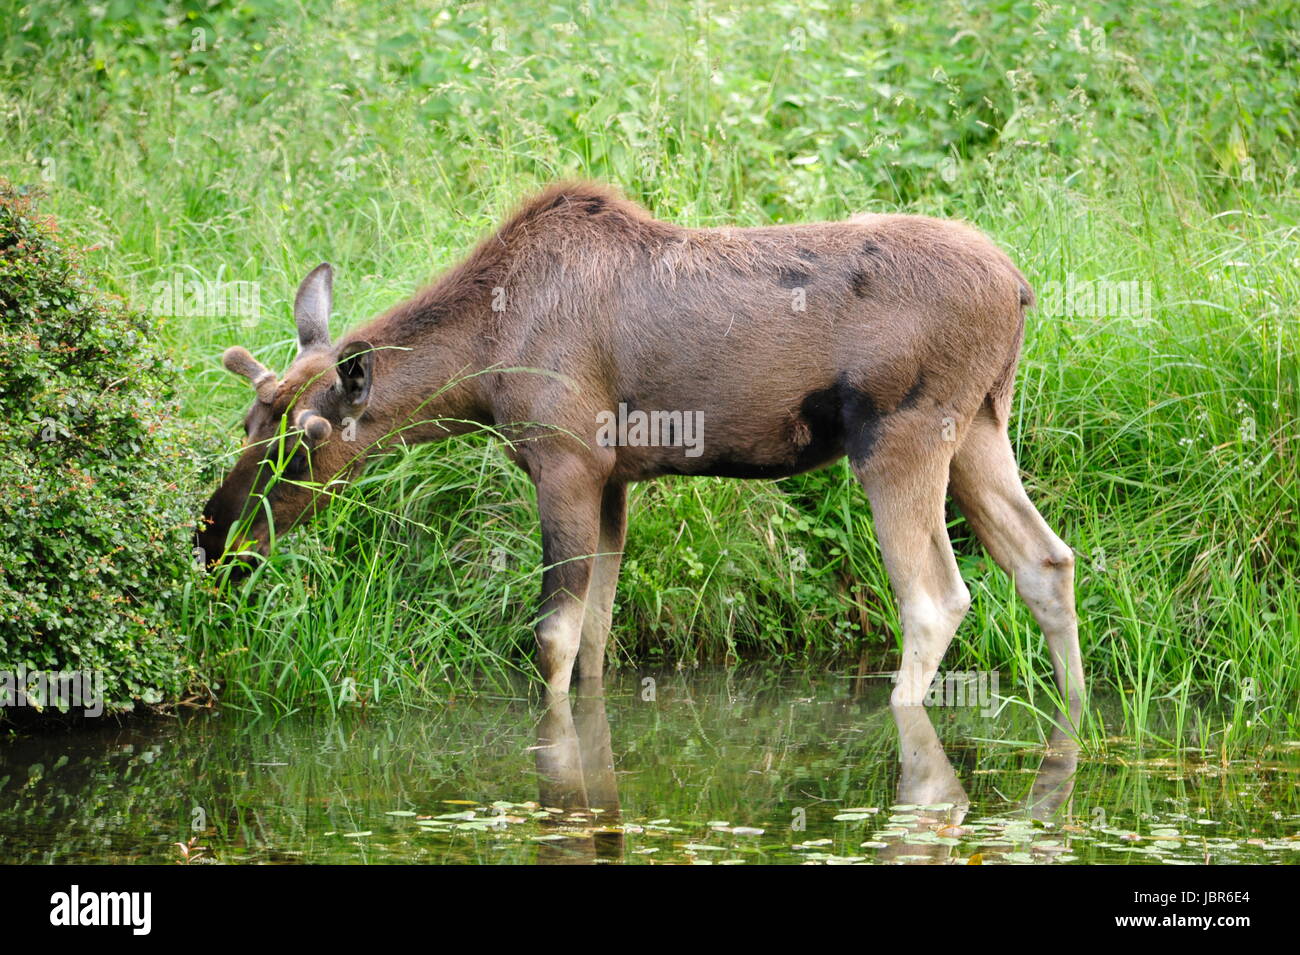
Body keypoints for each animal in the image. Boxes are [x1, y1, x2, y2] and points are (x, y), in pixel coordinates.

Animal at [199, 182, 1084, 707]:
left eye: (304, 445)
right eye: (248, 427)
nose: (216, 537)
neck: (483, 364)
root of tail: (1020, 287)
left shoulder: (565, 463)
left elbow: (553, 637)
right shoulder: (615, 480)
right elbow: (596, 635)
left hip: (902, 437)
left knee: (935, 599)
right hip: (980, 427)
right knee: (1046, 560)